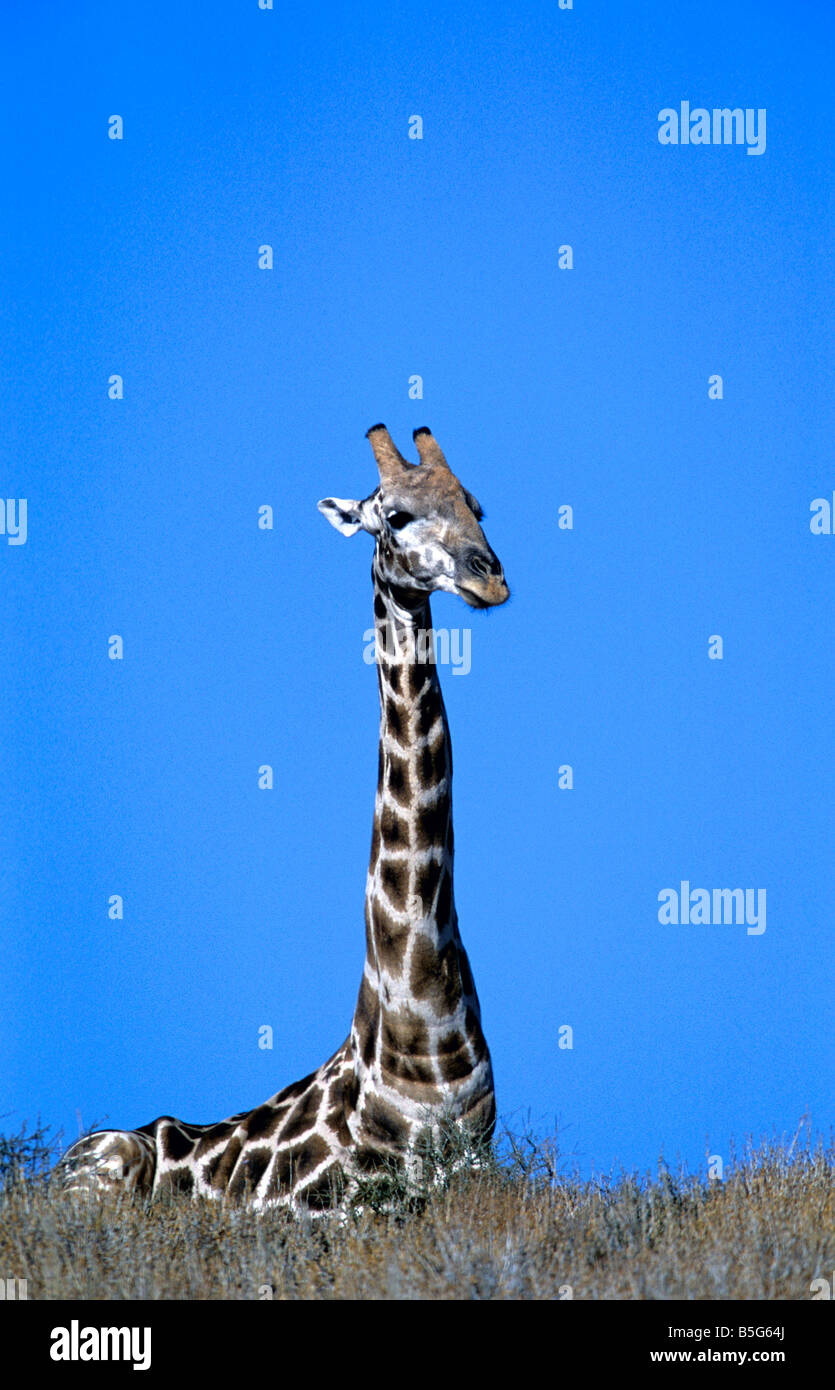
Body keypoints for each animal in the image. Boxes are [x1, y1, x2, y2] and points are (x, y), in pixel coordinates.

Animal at [57, 424, 509, 1212]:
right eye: (395, 516)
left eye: (473, 503)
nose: (491, 578)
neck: (425, 1024)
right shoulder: (353, 1203)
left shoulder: (482, 1169)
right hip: (103, 1165)